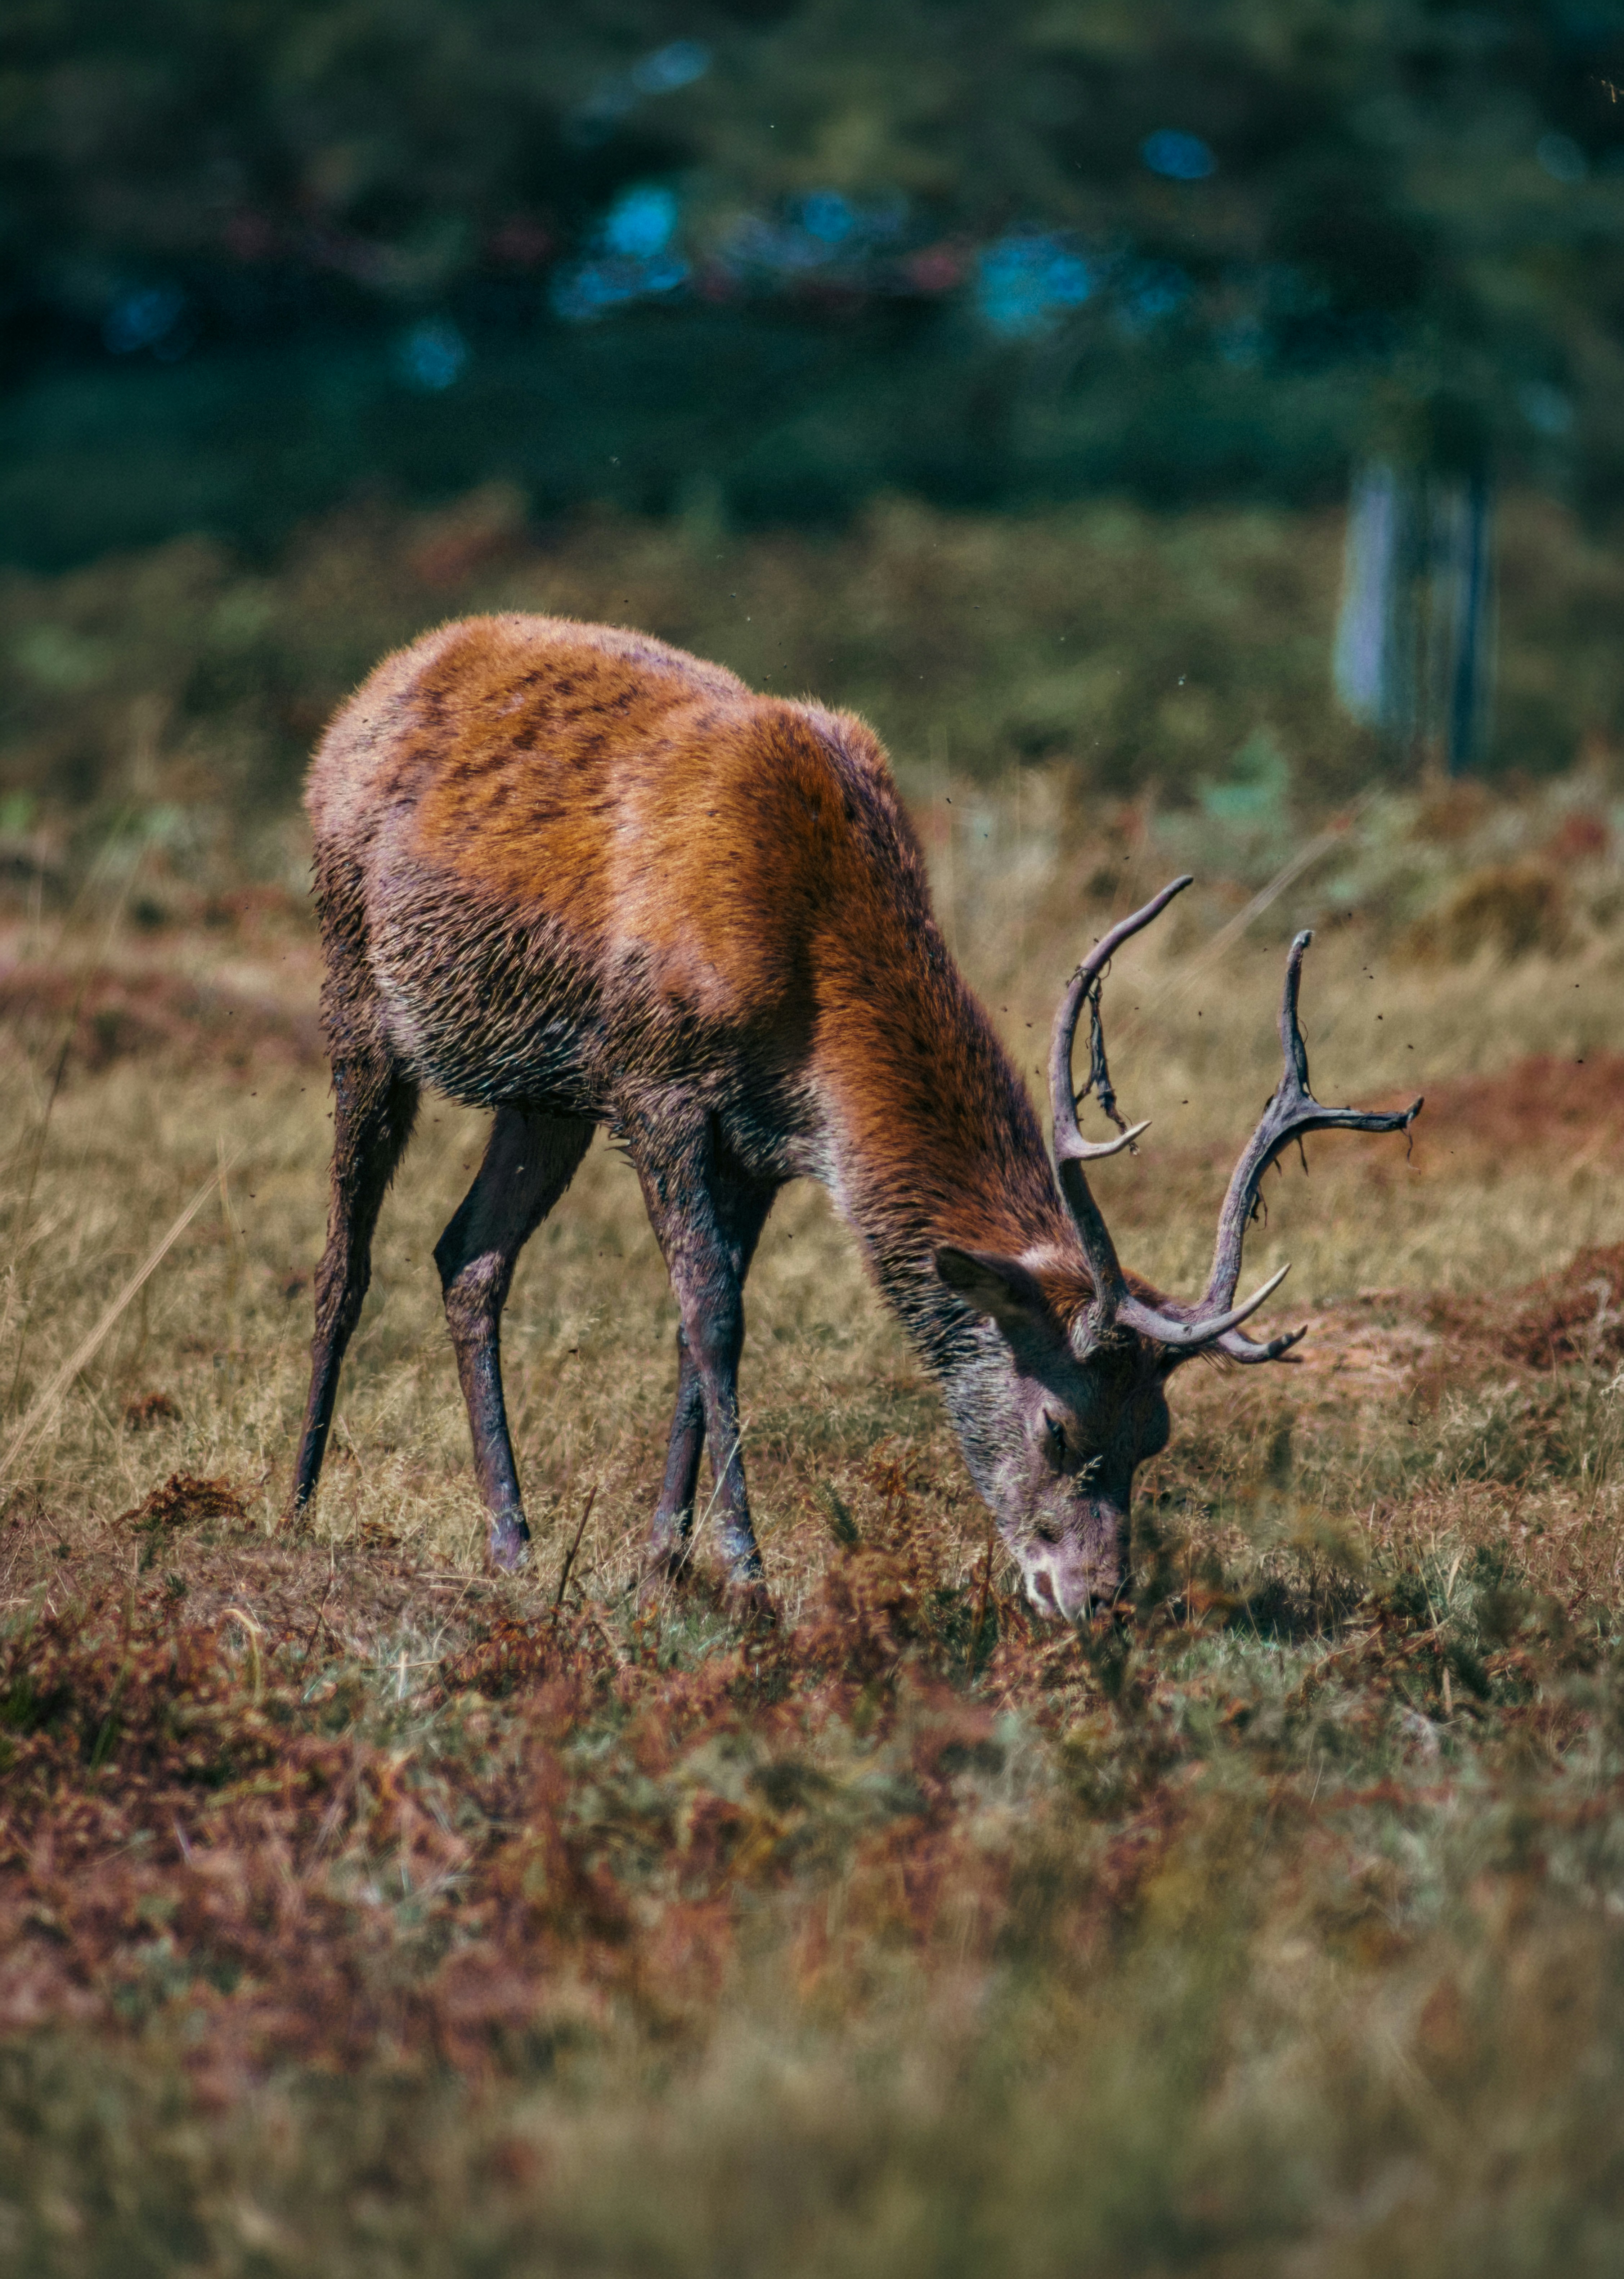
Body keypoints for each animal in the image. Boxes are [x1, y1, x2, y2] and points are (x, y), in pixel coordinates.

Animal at [286, 613, 1421, 1619]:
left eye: (1157, 1434)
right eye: (1057, 1427)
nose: (1100, 1599)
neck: (808, 973)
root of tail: (367, 694)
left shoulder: (754, 1142)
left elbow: (695, 1340)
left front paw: (661, 1569)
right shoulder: (658, 1085)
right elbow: (714, 1319)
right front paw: (747, 1578)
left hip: (543, 1096)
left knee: (468, 1258)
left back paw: (512, 1542)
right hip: (357, 992)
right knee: (347, 1256)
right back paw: (298, 1504)